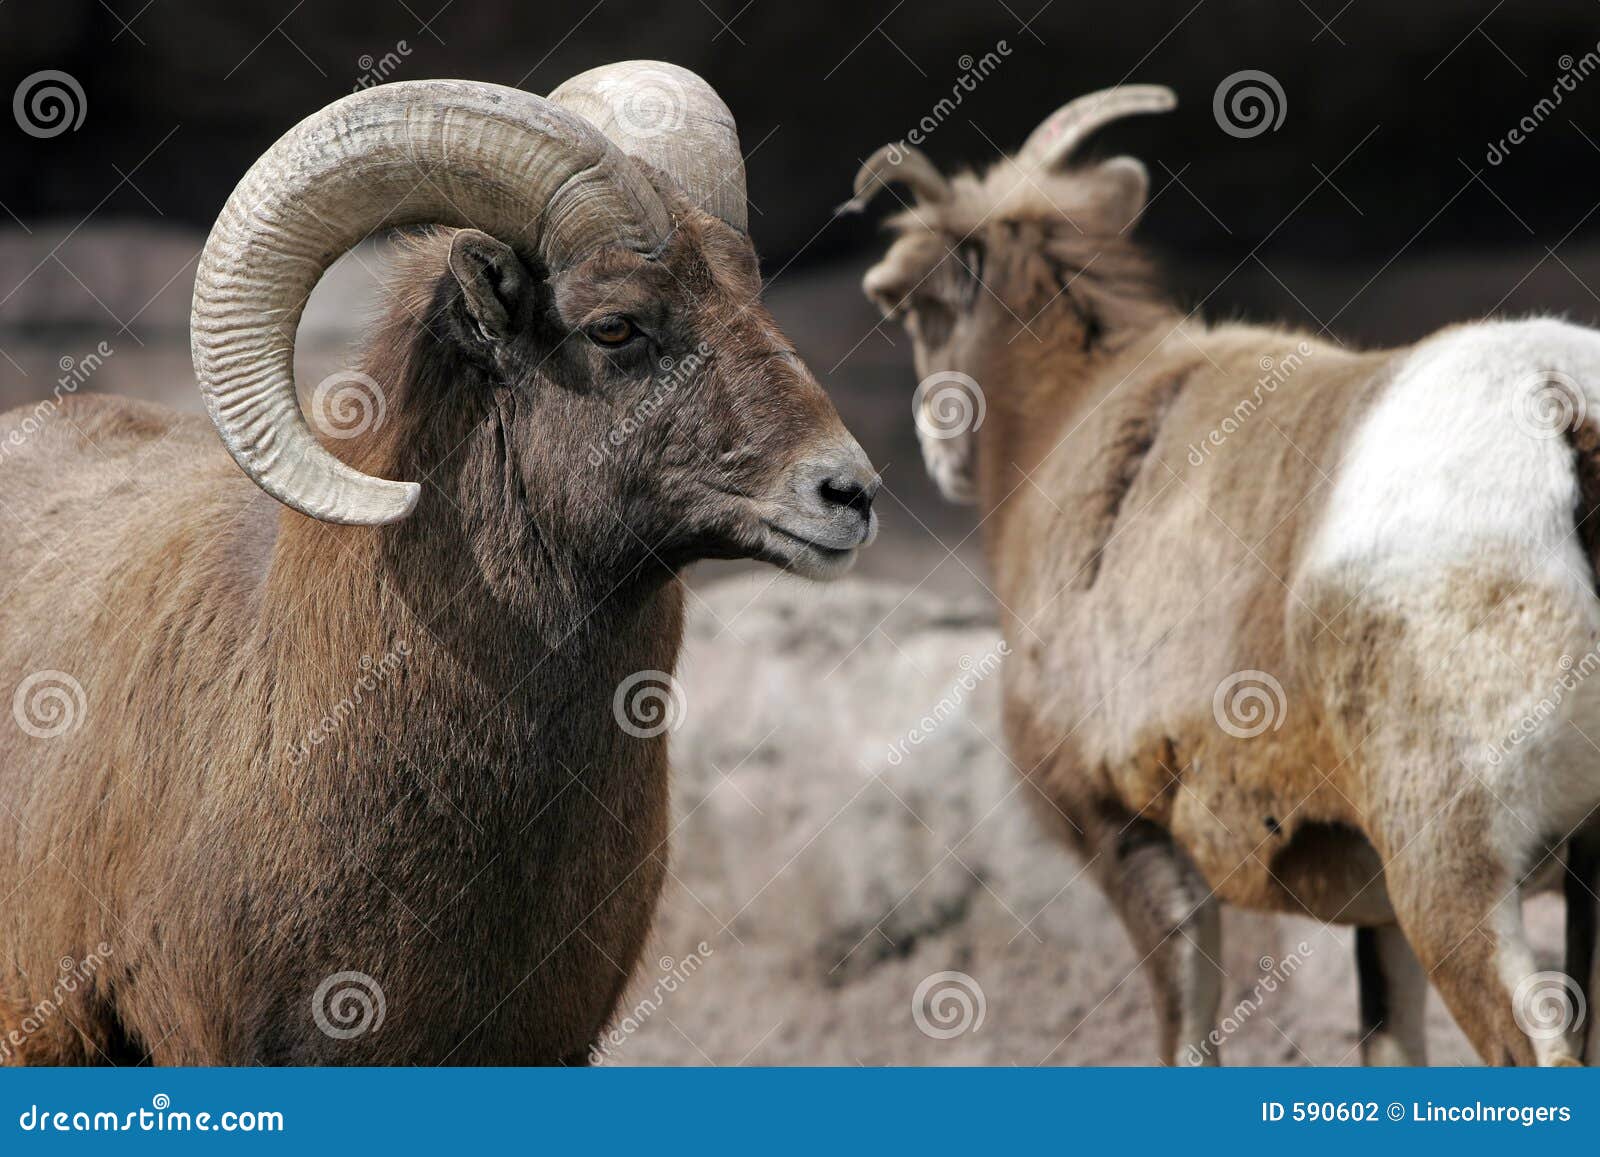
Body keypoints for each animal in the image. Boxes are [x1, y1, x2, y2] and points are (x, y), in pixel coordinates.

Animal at [848, 84, 1600, 1066]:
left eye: (906, 308)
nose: (942, 464)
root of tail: (1562, 411)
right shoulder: (1373, 905)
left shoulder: (1131, 840)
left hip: (1453, 877)